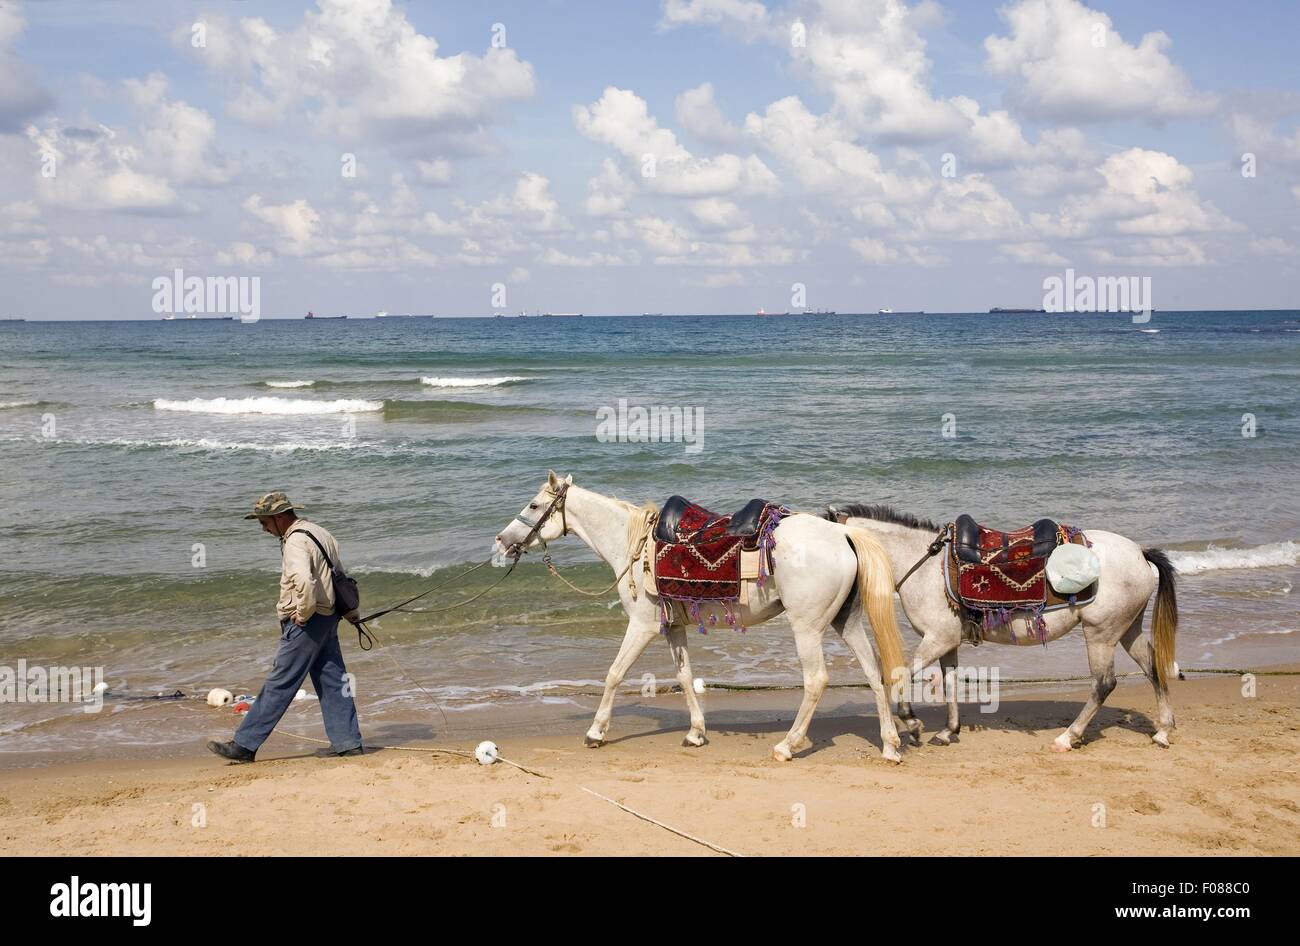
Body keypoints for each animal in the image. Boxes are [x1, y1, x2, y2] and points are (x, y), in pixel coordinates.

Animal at [493, 473, 911, 762]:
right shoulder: (673, 627)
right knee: (874, 674)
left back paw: (787, 745)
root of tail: (843, 535)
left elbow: (614, 674)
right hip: (846, 621)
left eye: (534, 506)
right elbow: (685, 676)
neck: (634, 546)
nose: (502, 541)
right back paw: (890, 745)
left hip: (806, 627)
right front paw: (695, 733)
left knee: (816, 681)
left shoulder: (642, 626)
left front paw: (596, 732)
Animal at [824, 504, 1178, 752]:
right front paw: (948, 731)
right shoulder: (947, 642)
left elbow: (899, 675)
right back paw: (1162, 731)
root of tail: (1140, 553)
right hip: (1127, 629)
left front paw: (912, 723)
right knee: (1153, 669)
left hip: (1100, 634)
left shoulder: (936, 639)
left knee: (1103, 684)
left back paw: (1068, 737)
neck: (925, 567)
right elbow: (950, 682)